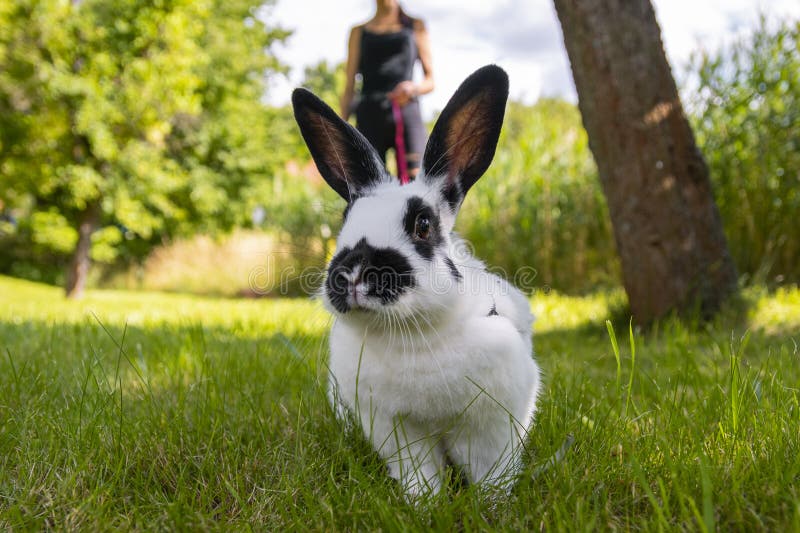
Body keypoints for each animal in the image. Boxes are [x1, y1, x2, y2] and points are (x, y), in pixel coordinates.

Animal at [292, 65, 541, 498]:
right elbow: (418, 471)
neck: (414, 336)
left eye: (423, 225)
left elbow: (492, 471)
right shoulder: (394, 428)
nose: (353, 273)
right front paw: (424, 502)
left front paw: (491, 503)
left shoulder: (494, 424)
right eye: (345, 220)